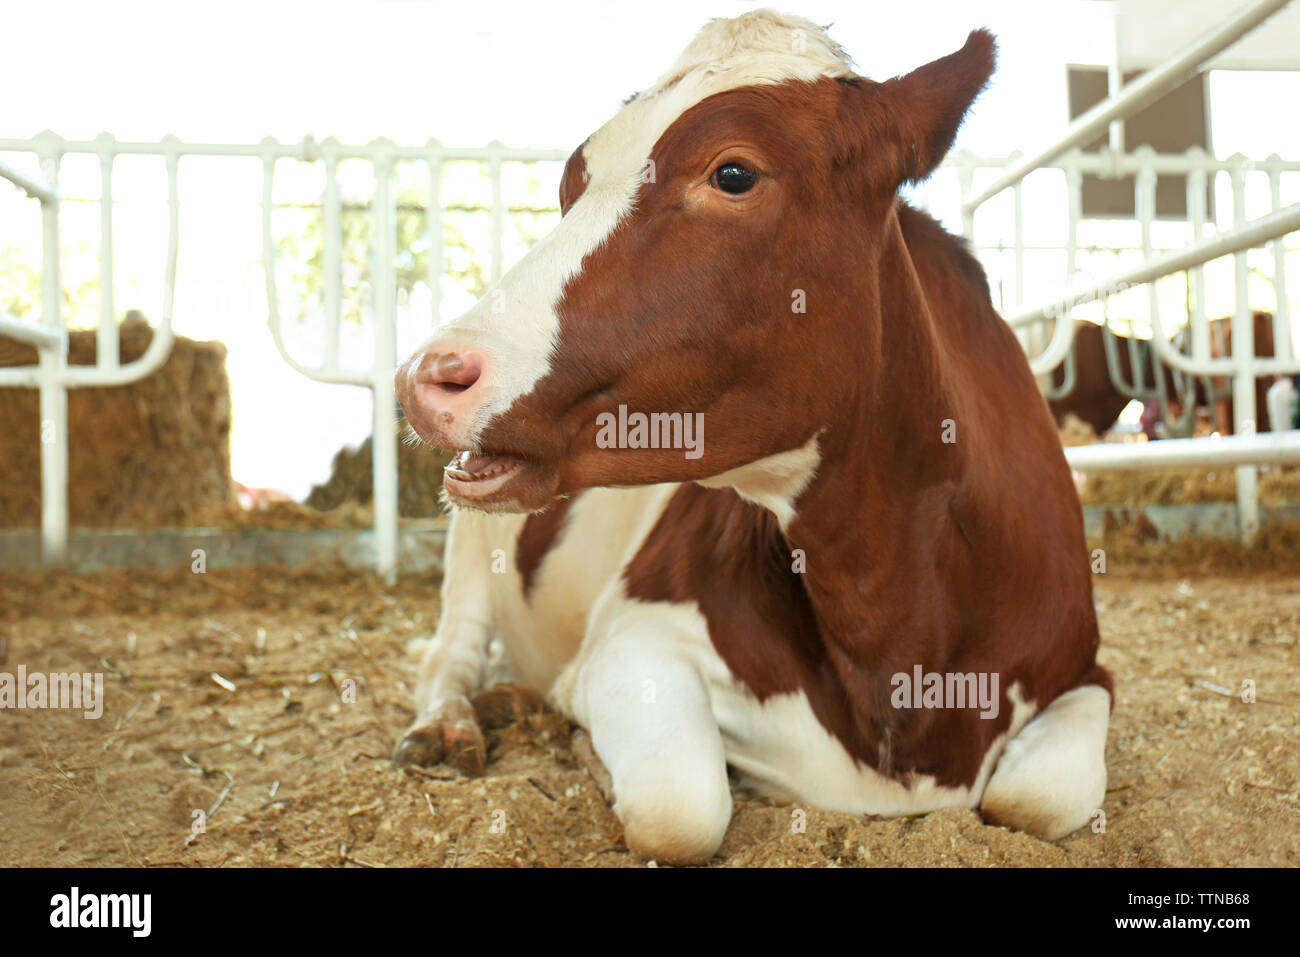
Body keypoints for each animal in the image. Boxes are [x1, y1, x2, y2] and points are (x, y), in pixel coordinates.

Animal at [393, 9, 1111, 865]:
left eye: (733, 174)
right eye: (573, 185)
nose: (429, 373)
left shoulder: (1085, 668)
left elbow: (1037, 796)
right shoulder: (636, 635)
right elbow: (678, 808)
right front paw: (588, 749)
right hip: (472, 542)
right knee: (450, 647)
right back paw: (451, 722)